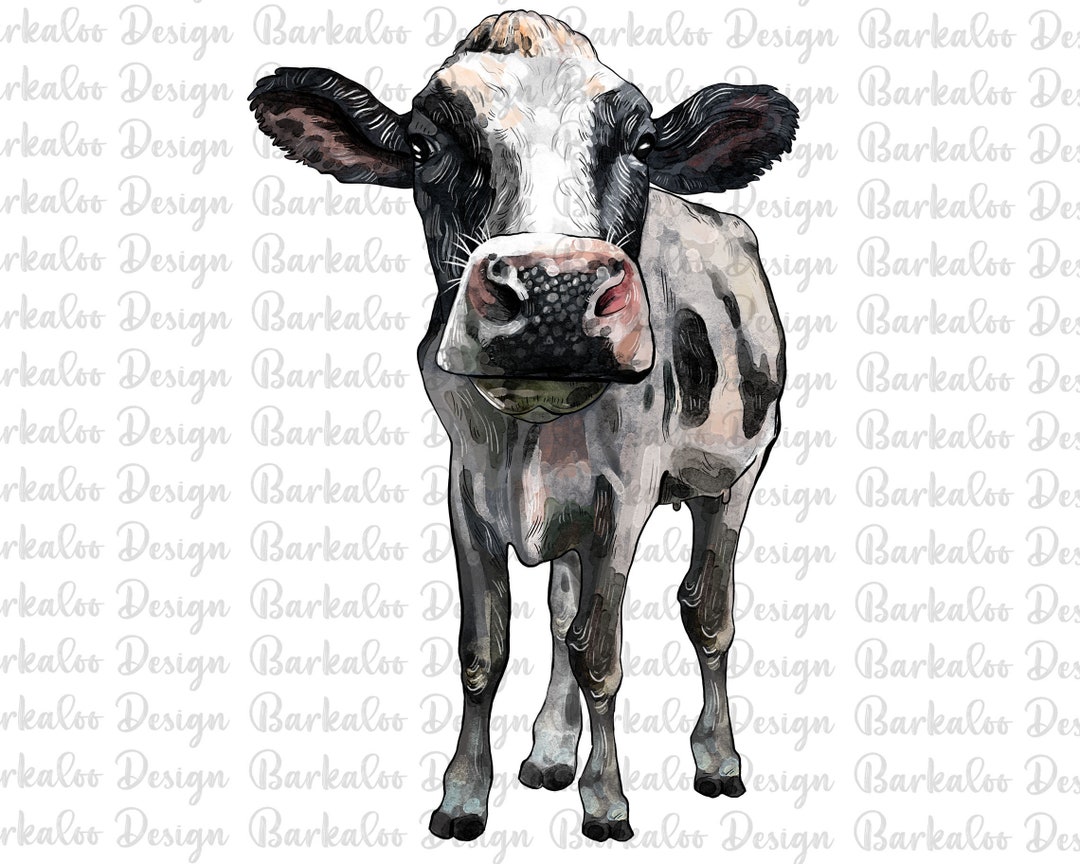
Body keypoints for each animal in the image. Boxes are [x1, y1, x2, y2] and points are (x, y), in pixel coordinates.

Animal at [249, 9, 797, 844]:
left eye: (641, 144)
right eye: (424, 144)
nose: (554, 293)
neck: (530, 437)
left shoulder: (625, 497)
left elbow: (600, 654)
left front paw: (606, 801)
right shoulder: (468, 489)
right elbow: (487, 649)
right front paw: (464, 796)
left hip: (734, 479)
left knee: (706, 614)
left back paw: (717, 759)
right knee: (563, 612)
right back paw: (549, 753)